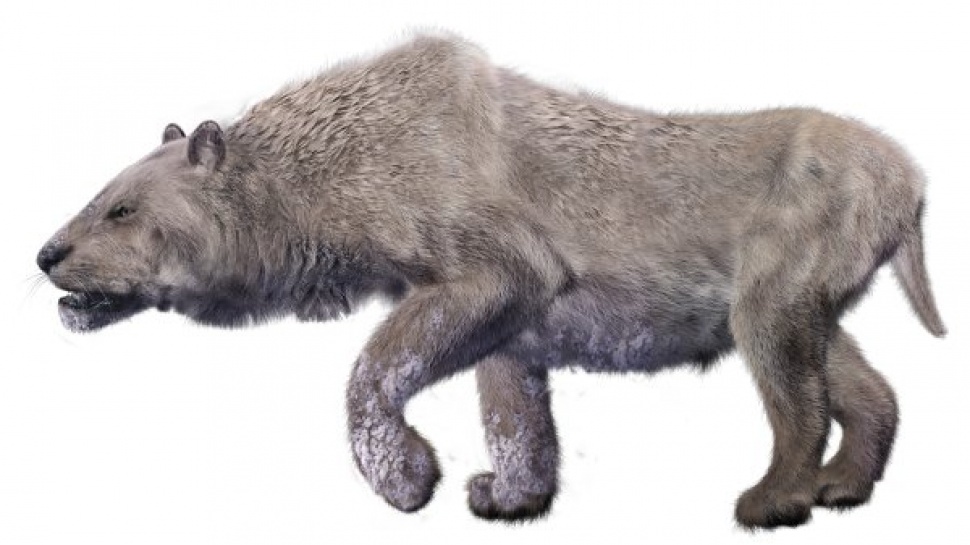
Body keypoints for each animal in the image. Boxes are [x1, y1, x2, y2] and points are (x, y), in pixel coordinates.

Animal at [37, 34, 945, 529]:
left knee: (795, 384)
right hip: (805, 288)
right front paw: (508, 492)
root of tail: (909, 172)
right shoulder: (518, 317)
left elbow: (378, 364)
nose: (45, 252)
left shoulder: (493, 256)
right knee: (856, 377)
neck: (333, 178)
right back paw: (843, 482)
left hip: (778, 270)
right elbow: (512, 406)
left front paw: (408, 476)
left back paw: (772, 497)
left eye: (119, 207)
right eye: (99, 194)